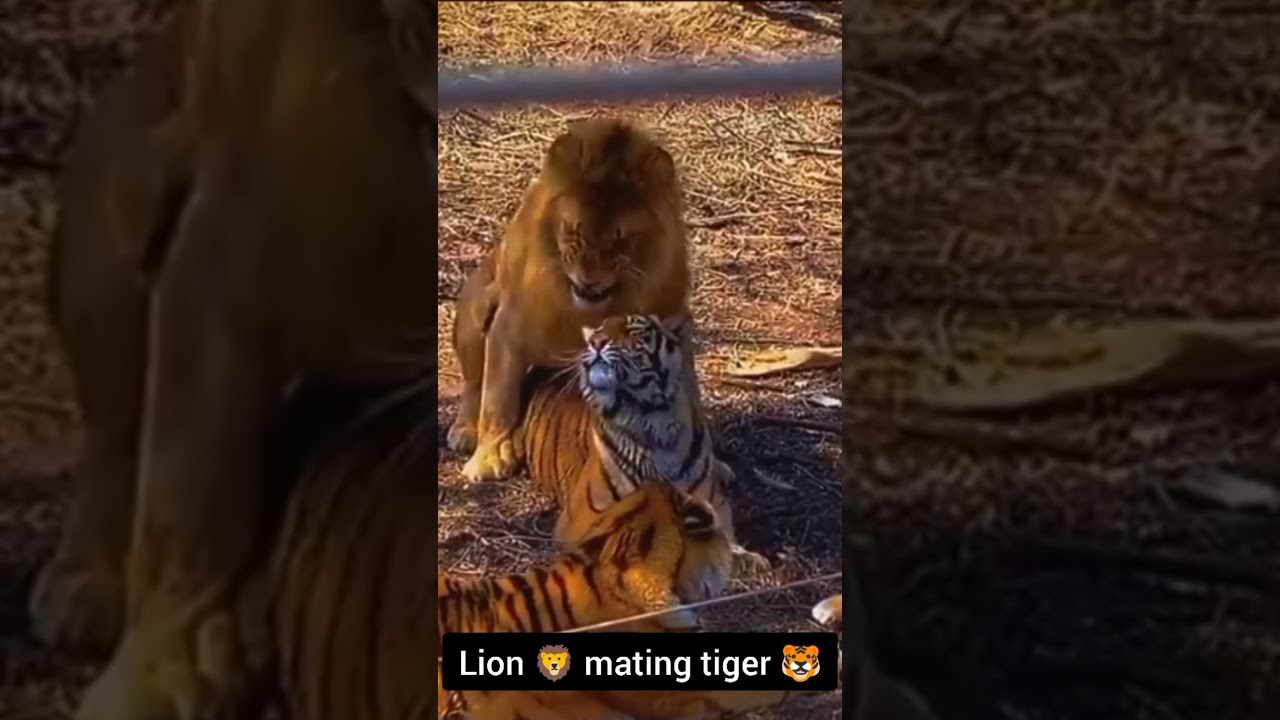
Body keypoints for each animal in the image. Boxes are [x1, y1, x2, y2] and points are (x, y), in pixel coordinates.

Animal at [29, 1, 435, 719]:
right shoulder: (233, 230)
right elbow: (190, 493)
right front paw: (163, 674)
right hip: (109, 244)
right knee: (113, 437)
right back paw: (84, 587)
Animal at [447, 117, 694, 483]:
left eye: (618, 240)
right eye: (575, 231)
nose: (589, 279)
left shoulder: (673, 322)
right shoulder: (509, 325)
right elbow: (497, 399)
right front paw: (490, 457)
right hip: (474, 313)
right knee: (474, 383)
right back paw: (466, 432)